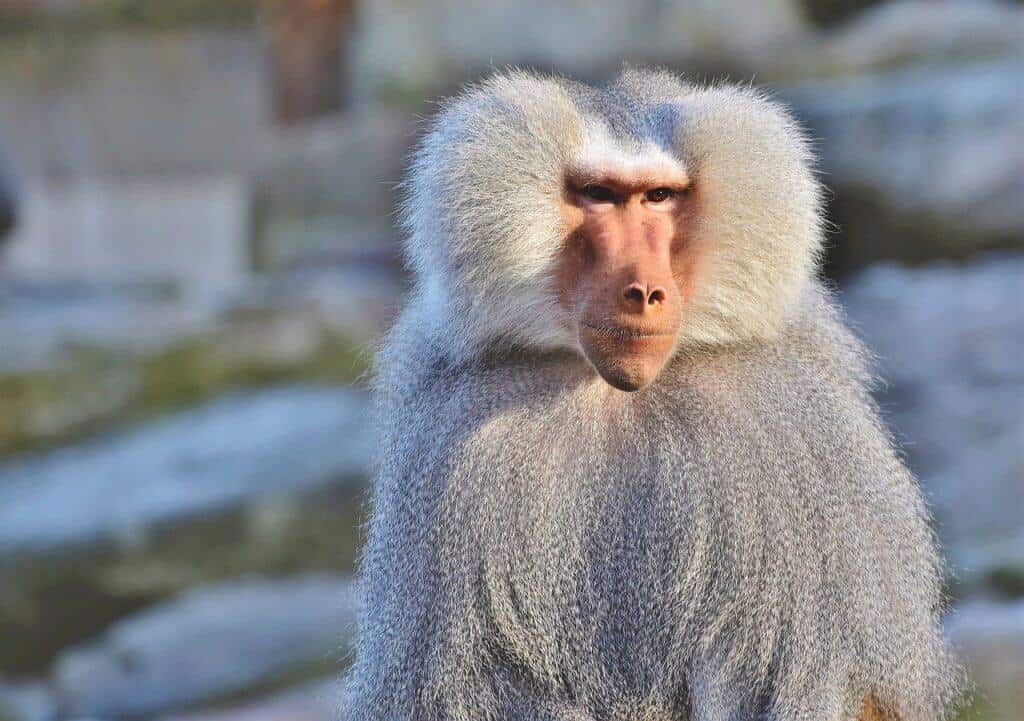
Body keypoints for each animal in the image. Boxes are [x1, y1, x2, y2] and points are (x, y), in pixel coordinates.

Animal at [342, 68, 961, 721]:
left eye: (659, 196)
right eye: (599, 194)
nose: (642, 293)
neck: (618, 397)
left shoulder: (800, 441)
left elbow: (846, 689)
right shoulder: (452, 443)